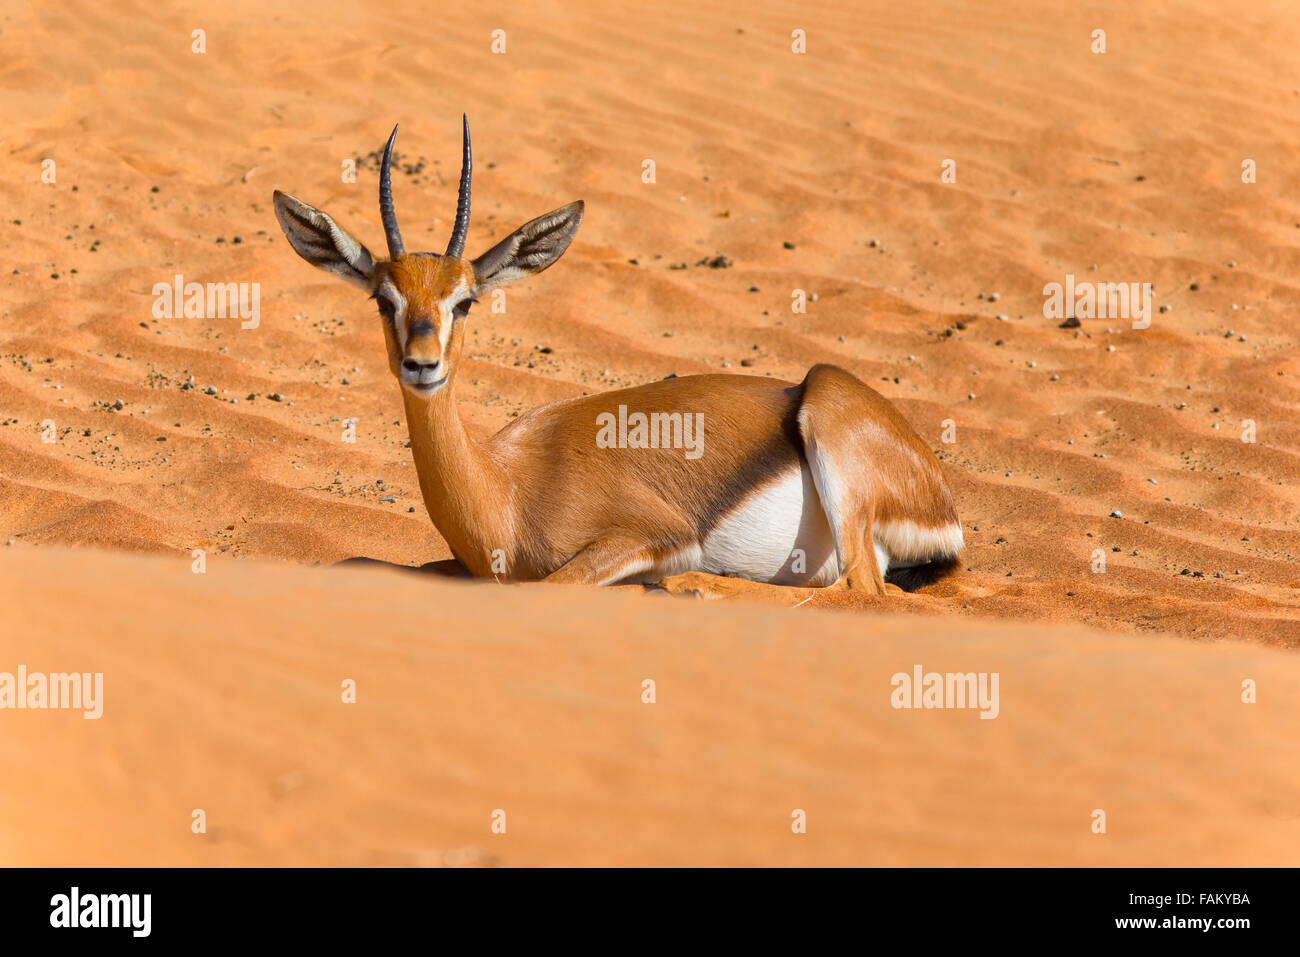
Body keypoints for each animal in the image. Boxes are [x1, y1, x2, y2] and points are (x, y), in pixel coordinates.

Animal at [272, 118, 962, 597]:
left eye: (465, 301)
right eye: (382, 298)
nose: (422, 364)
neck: (507, 494)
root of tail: (941, 502)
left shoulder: (649, 537)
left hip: (830, 425)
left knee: (860, 591)